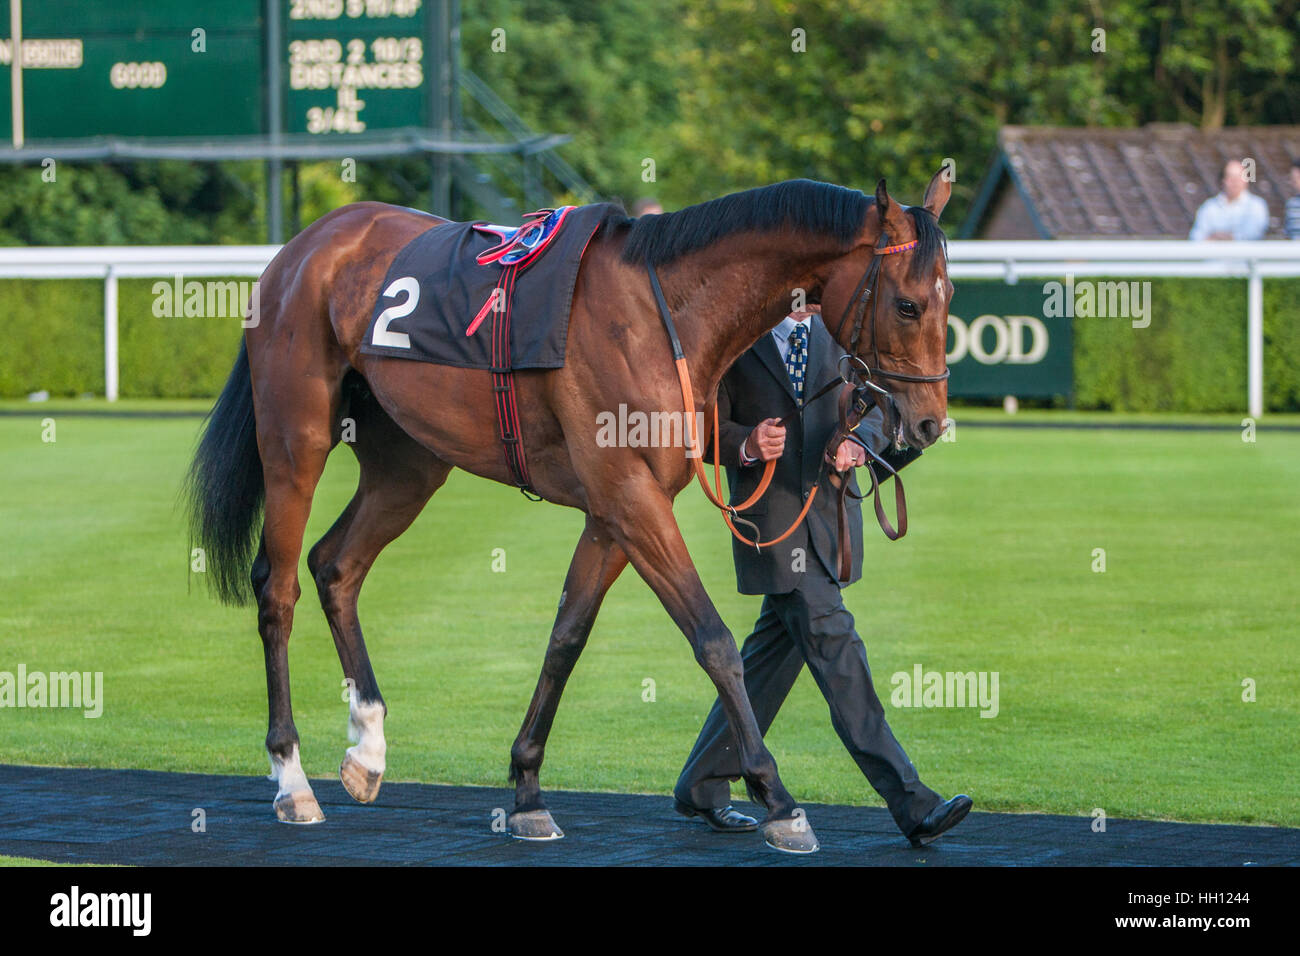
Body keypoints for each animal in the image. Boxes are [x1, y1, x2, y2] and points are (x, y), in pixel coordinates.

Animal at [185, 172, 954, 853]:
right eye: (909, 304)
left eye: (949, 299)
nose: (928, 424)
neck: (661, 314)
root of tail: (304, 247)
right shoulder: (631, 496)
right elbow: (713, 641)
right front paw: (777, 798)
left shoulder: (613, 512)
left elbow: (567, 638)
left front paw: (527, 790)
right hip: (296, 437)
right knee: (278, 588)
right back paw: (291, 779)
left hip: (409, 460)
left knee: (337, 565)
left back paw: (368, 747)